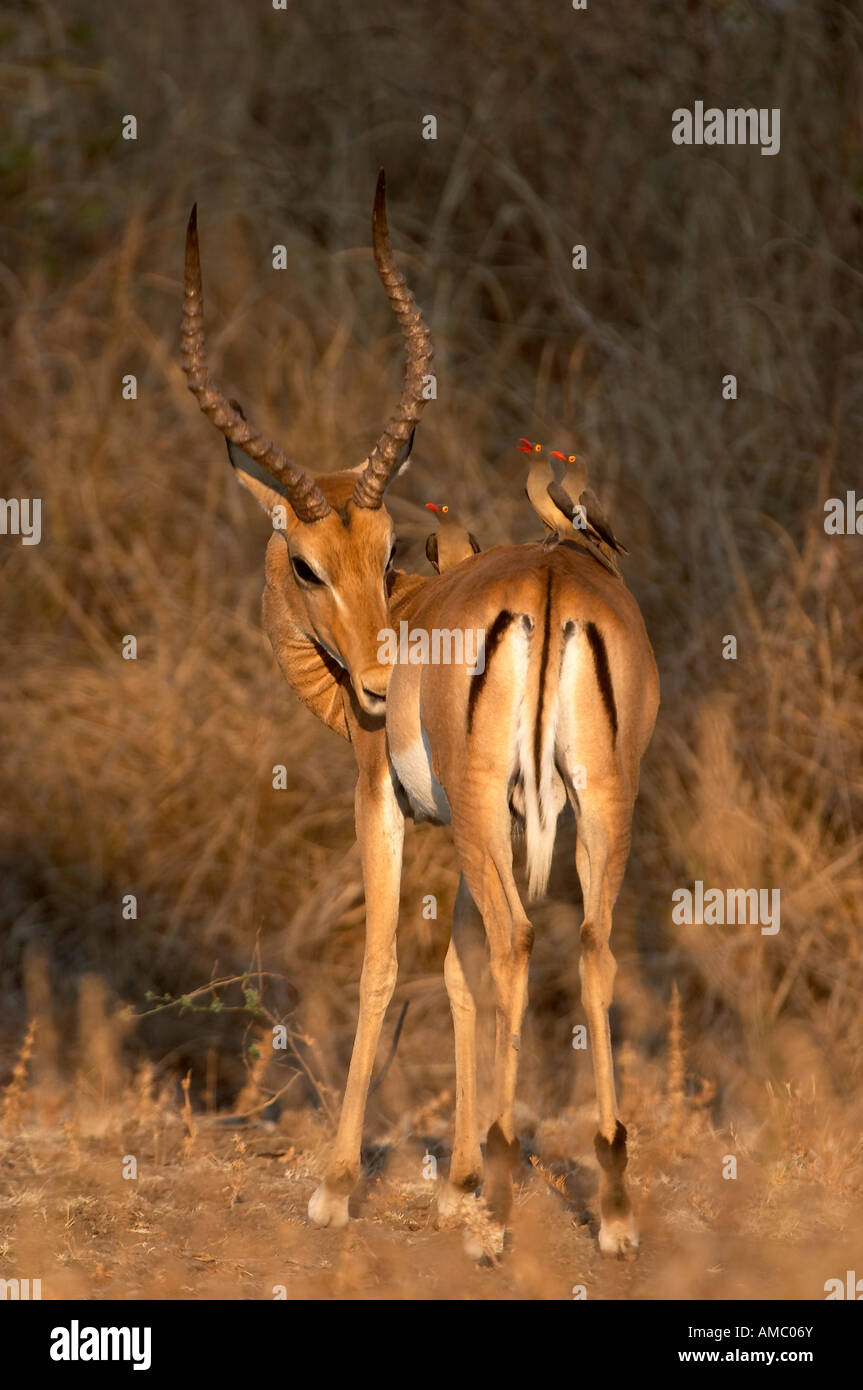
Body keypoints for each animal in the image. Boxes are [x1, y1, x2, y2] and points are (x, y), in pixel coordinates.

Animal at [180, 173, 660, 1256]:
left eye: (382, 542)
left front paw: (338, 1186)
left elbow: (387, 964)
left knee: (520, 943)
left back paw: (506, 1212)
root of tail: (553, 584)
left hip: (494, 808)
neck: (407, 602)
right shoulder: (468, 825)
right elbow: (455, 974)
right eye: (309, 561)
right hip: (593, 803)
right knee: (593, 946)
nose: (372, 682)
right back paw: (608, 1210)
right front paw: (455, 1181)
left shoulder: (387, 804)